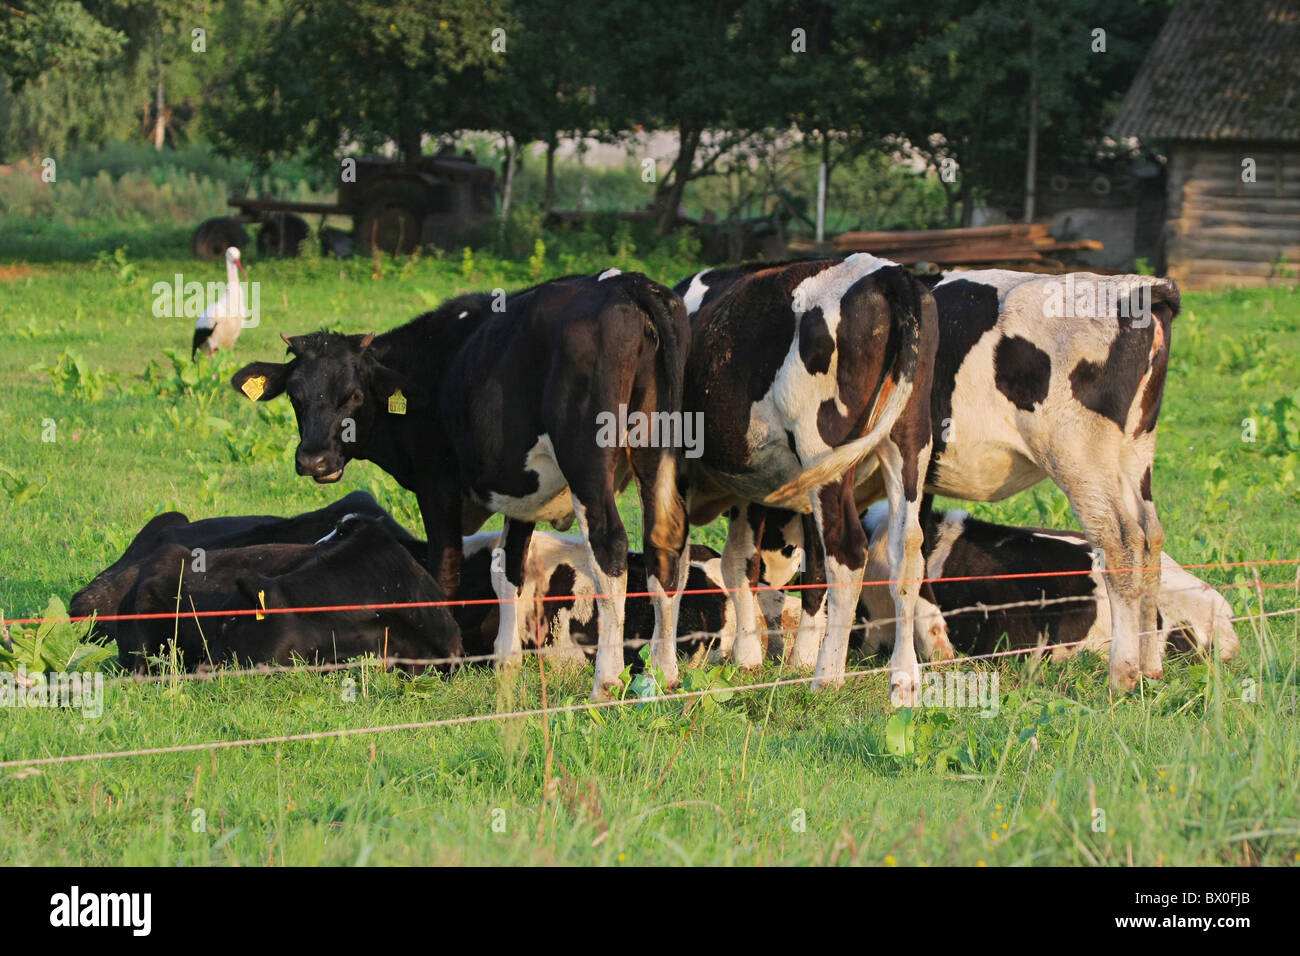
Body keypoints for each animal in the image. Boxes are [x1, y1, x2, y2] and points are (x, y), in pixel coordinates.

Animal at [230, 271, 691, 700]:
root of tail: (623, 283)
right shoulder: (520, 489)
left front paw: (443, 663)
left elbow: (444, 570)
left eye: (354, 395)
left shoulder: (438, 489)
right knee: (665, 544)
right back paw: (663, 673)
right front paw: (505, 661)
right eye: (294, 395)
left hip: (587, 461)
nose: (314, 459)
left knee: (610, 547)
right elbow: (507, 568)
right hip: (659, 452)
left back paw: (606, 684)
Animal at [676, 254, 938, 705]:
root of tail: (887, 272)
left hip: (824, 449)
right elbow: (743, 561)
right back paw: (904, 681)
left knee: (847, 550)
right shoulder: (753, 482)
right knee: (907, 553)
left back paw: (827, 676)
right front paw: (761, 657)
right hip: (907, 442)